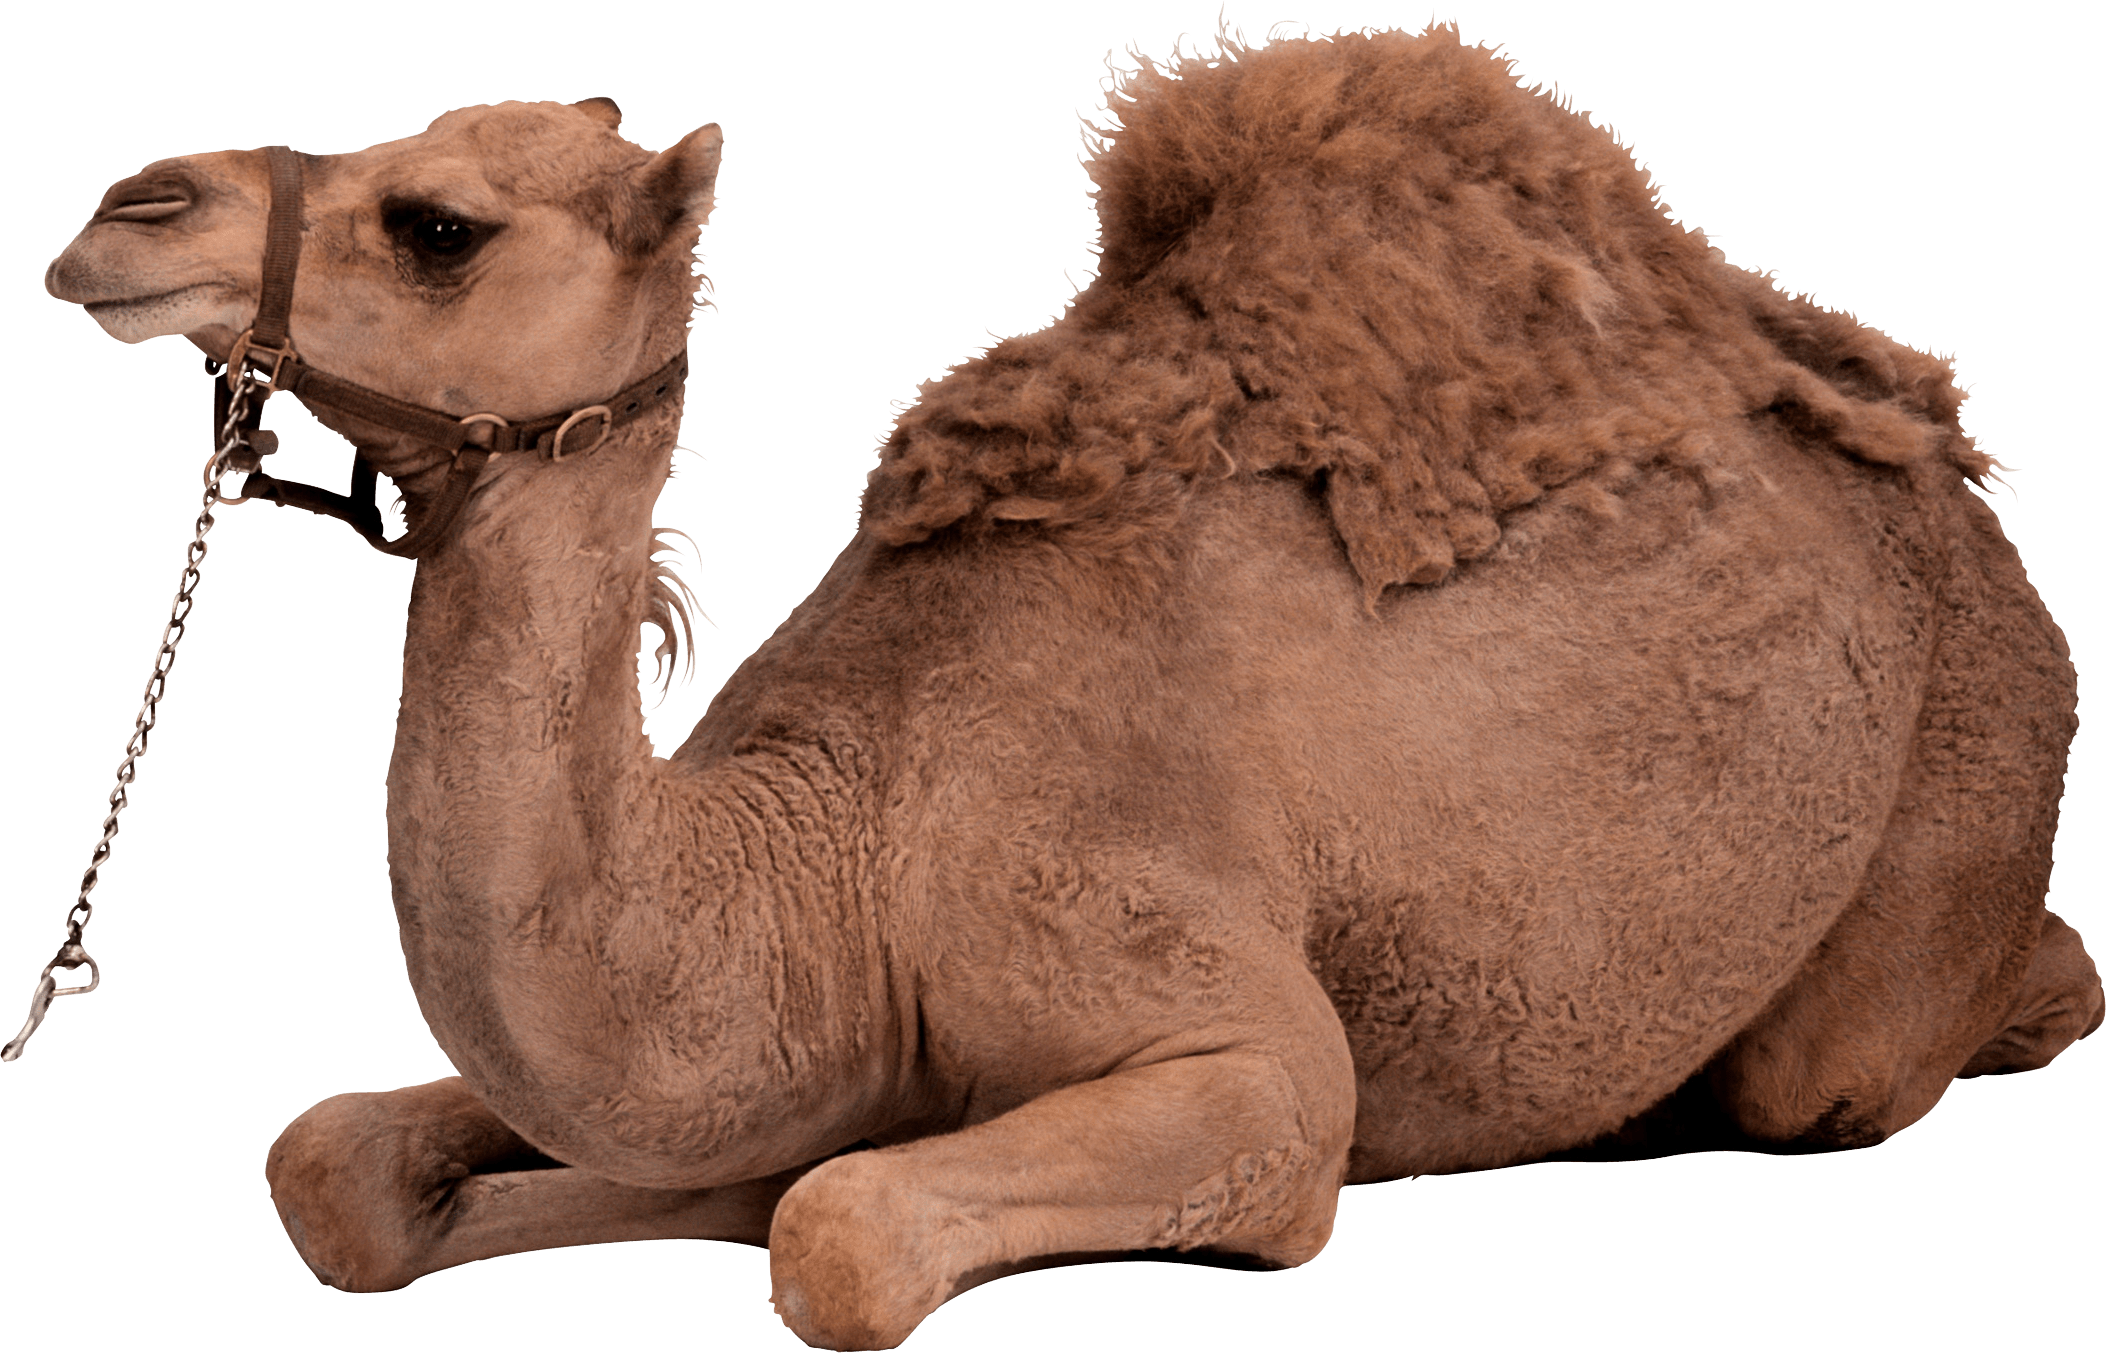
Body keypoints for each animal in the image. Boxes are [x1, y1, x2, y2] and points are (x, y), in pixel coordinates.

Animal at [40, 23, 2100, 1352]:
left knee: (1852, 1056)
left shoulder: (1235, 1039)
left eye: (438, 223)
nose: (127, 211)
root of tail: (1957, 479)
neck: (829, 852)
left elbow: (842, 1223)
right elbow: (341, 1167)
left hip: (1969, 750)